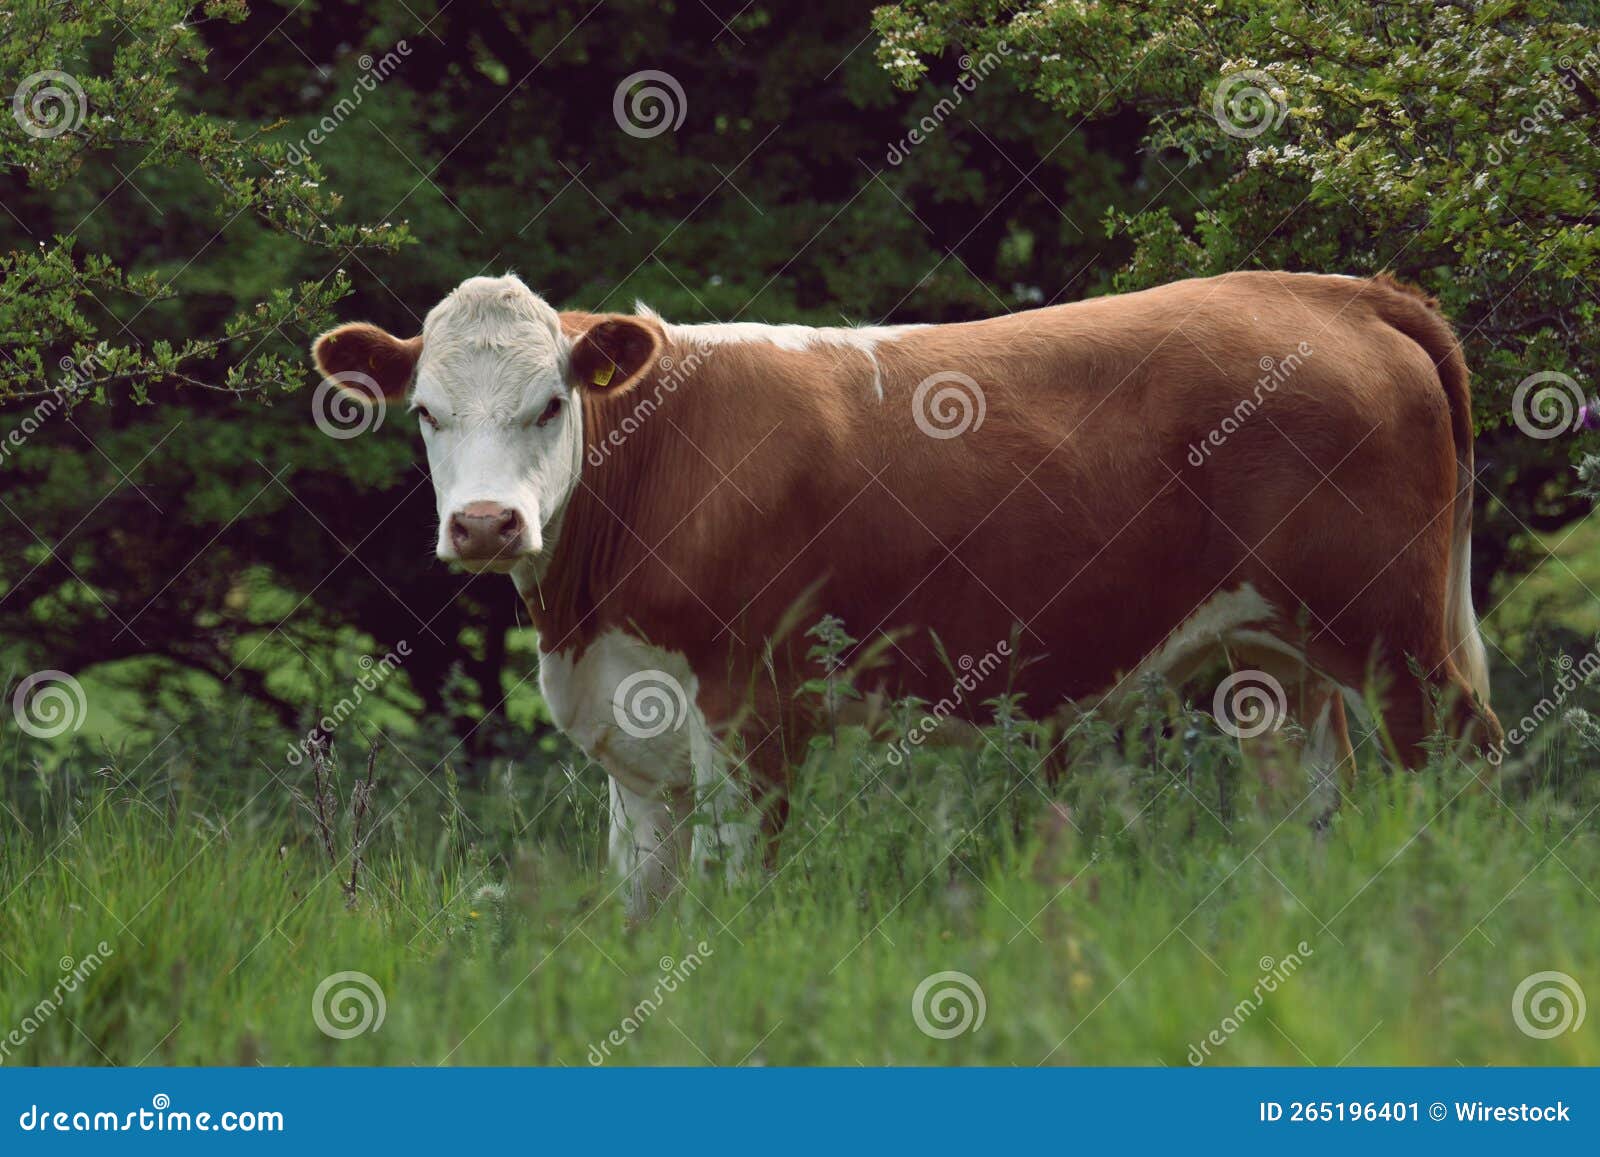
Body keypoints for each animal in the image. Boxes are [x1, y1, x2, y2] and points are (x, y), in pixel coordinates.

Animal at [313, 270, 1501, 915]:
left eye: (553, 403)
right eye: (424, 412)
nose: (484, 525)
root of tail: (1341, 293)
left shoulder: (753, 706)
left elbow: (734, 889)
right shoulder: (636, 733)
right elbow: (644, 897)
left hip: (1397, 635)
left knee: (1461, 760)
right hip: (1279, 653)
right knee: (1315, 795)